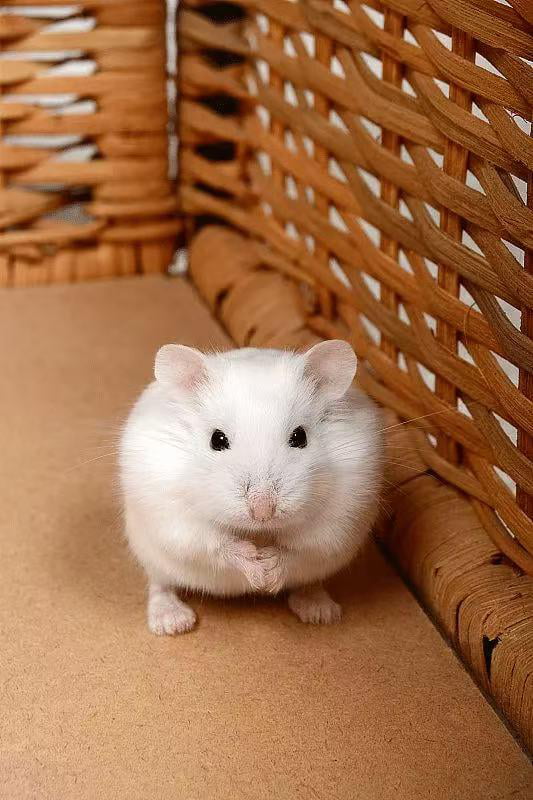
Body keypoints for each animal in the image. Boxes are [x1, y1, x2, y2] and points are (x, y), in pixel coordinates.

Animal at [119, 340, 383, 635]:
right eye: (217, 439)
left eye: (299, 436)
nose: (263, 512)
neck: (258, 532)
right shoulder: (175, 517)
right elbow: (216, 544)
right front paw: (257, 571)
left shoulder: (341, 517)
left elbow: (300, 549)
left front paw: (267, 571)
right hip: (151, 555)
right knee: (160, 584)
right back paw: (173, 623)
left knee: (309, 581)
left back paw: (320, 612)